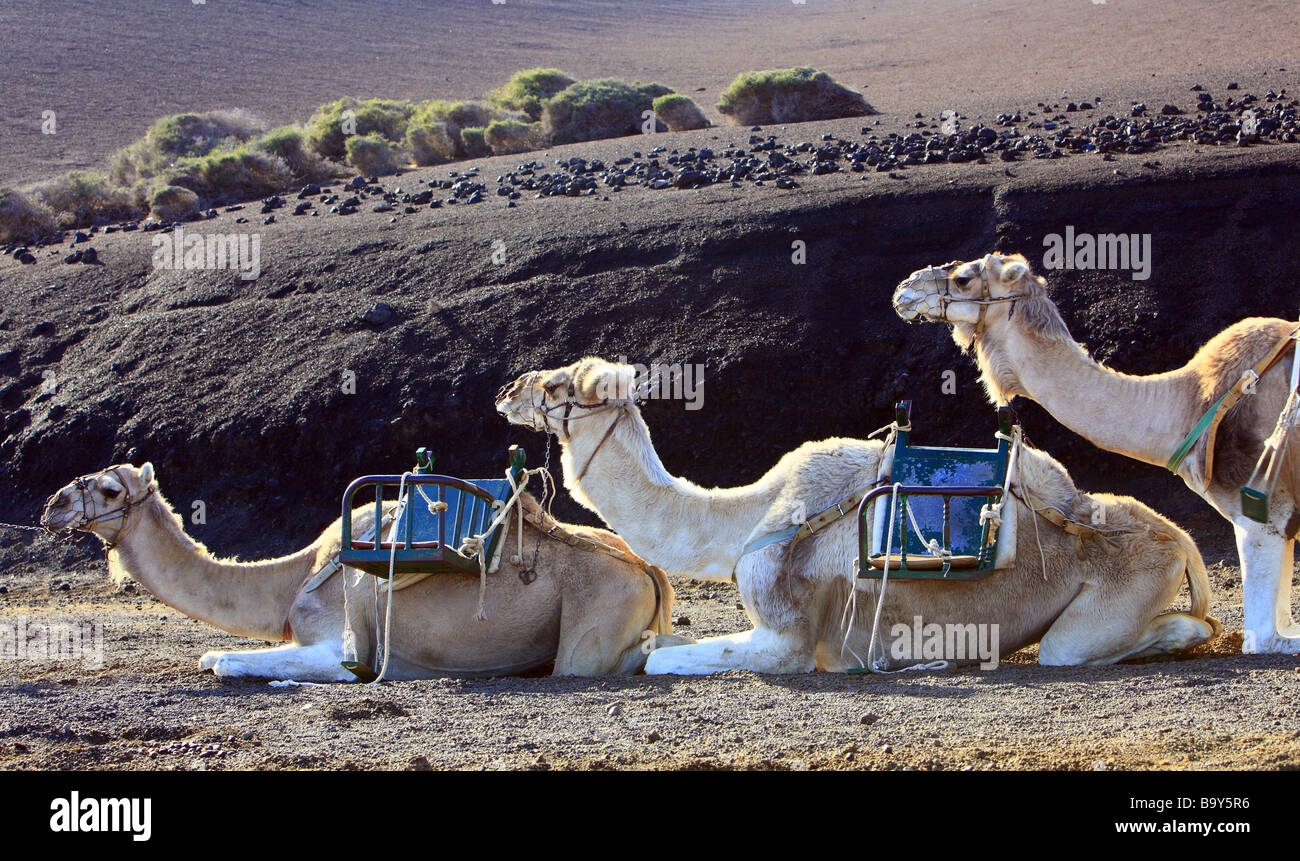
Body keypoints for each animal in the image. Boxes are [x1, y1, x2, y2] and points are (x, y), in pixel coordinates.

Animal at [40, 463, 678, 681]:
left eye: (109, 488)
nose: (52, 506)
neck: (293, 579)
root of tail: (645, 566)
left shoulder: (337, 645)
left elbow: (220, 660)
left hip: (594, 625)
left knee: (607, 659)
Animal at [496, 358, 1220, 673]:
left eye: (557, 384)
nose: (506, 388)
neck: (743, 520)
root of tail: (1178, 538)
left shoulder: (784, 634)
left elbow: (661, 659)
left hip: (1119, 592)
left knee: (1091, 643)